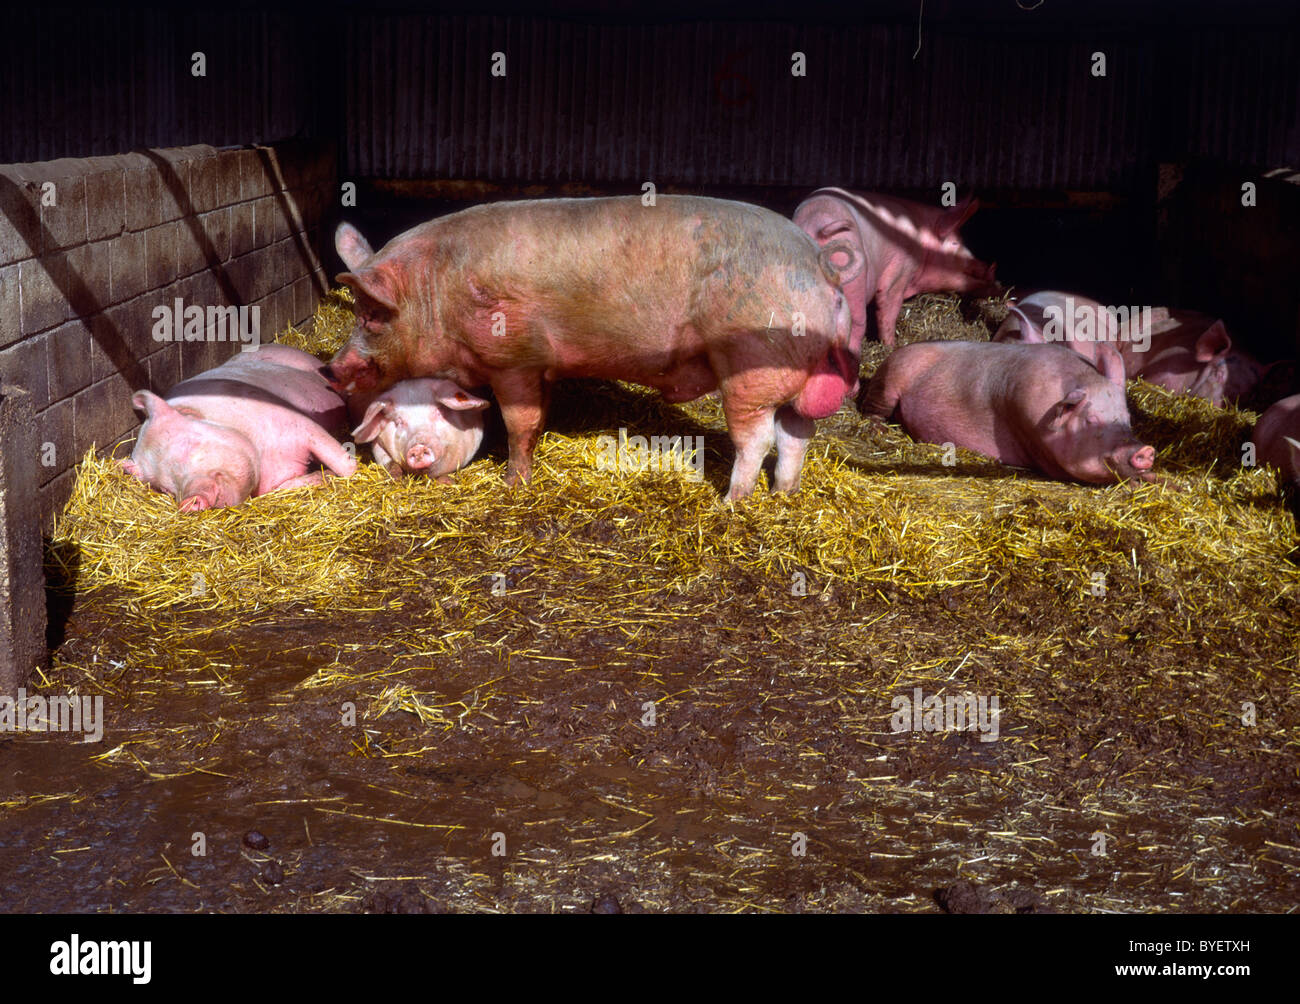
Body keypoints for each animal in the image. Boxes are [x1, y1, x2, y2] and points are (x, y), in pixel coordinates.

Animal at [121, 344, 357, 511]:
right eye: (165, 488)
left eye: (189, 445)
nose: (189, 501)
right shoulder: (275, 483)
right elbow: (286, 487)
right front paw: (324, 476)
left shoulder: (299, 423)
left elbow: (344, 464)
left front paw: (348, 469)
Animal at [351, 378, 489, 480]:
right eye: (399, 421)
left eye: (438, 411)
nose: (418, 448)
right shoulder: (377, 442)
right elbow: (386, 460)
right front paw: (395, 477)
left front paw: (447, 481)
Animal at [793, 187, 999, 349]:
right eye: (955, 243)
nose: (991, 270)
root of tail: (817, 228)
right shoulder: (901, 269)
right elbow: (888, 305)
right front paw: (891, 346)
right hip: (851, 280)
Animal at [857, 340, 1156, 484]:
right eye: (1091, 420)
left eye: (1127, 419)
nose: (1146, 450)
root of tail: (897, 352)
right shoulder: (1037, 442)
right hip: (889, 382)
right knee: (871, 410)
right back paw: (878, 430)